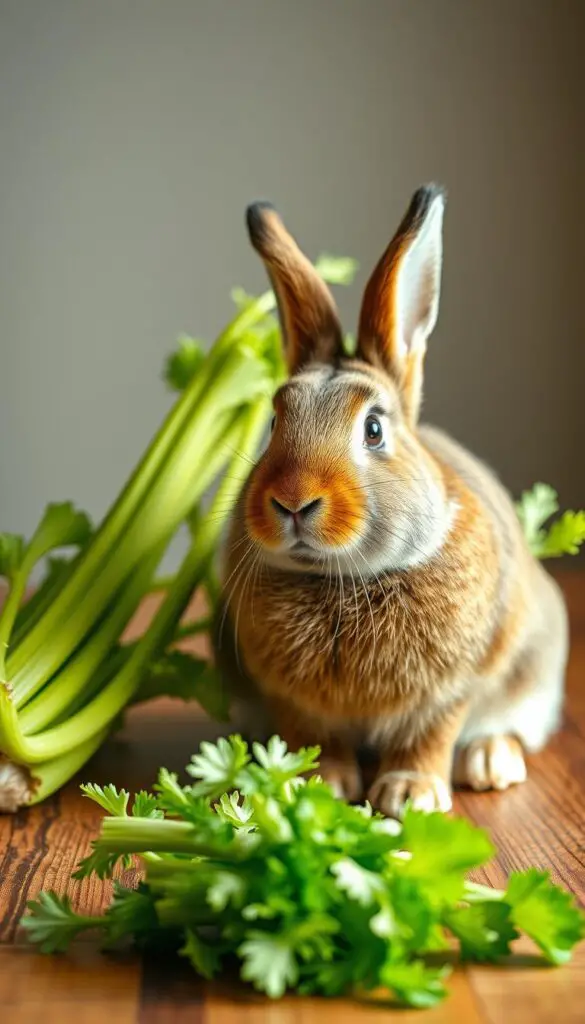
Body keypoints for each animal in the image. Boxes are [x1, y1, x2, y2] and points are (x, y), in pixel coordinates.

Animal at [215, 184, 568, 819]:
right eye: (275, 421)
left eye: (374, 429)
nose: (293, 501)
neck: (339, 578)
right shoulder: (291, 702)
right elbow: (310, 737)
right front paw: (315, 783)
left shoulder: (449, 690)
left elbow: (429, 735)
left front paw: (410, 794)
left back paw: (489, 762)